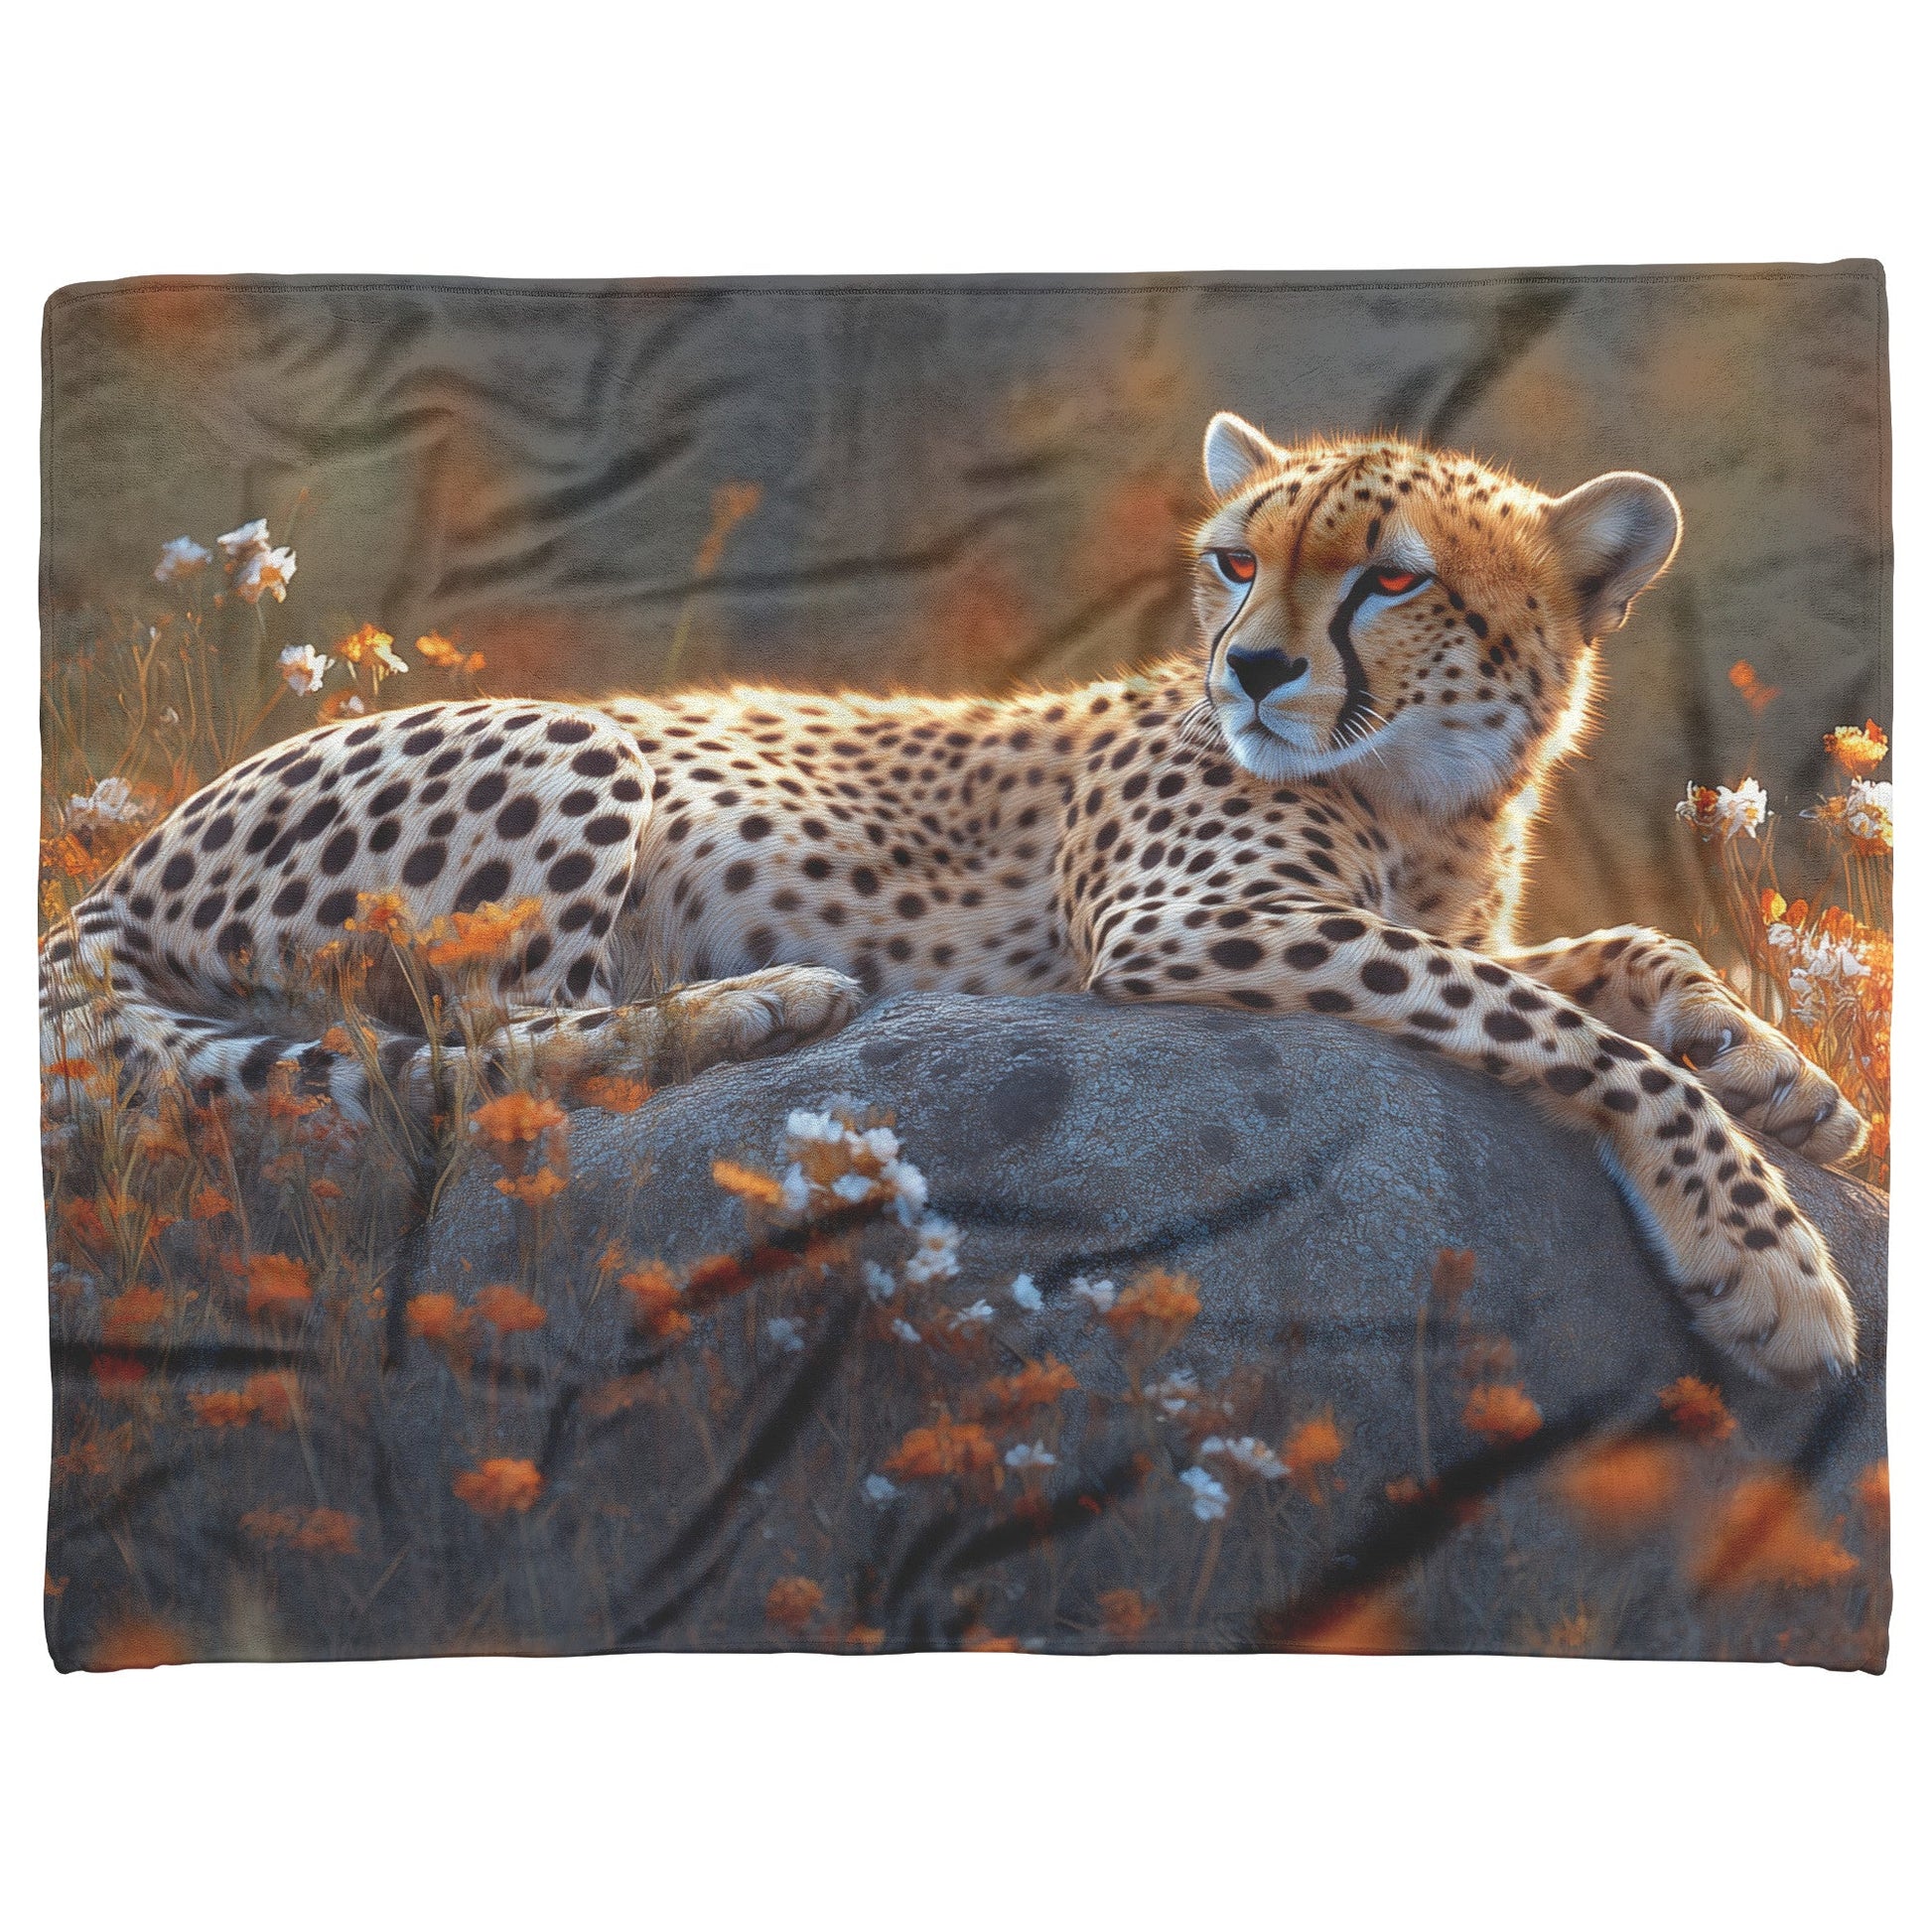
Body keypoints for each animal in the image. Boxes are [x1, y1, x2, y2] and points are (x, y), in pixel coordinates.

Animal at [40, 413, 1868, 1388]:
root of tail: (121, 856)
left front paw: (1788, 1077)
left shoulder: (1417, 917)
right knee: (495, 1048)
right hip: (577, 744)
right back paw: (757, 1001)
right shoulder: (1188, 925)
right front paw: (1762, 1252)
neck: (1430, 797)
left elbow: (1616, 954)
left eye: (1390, 578)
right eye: (1234, 560)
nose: (1254, 668)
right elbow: (1566, 1028)